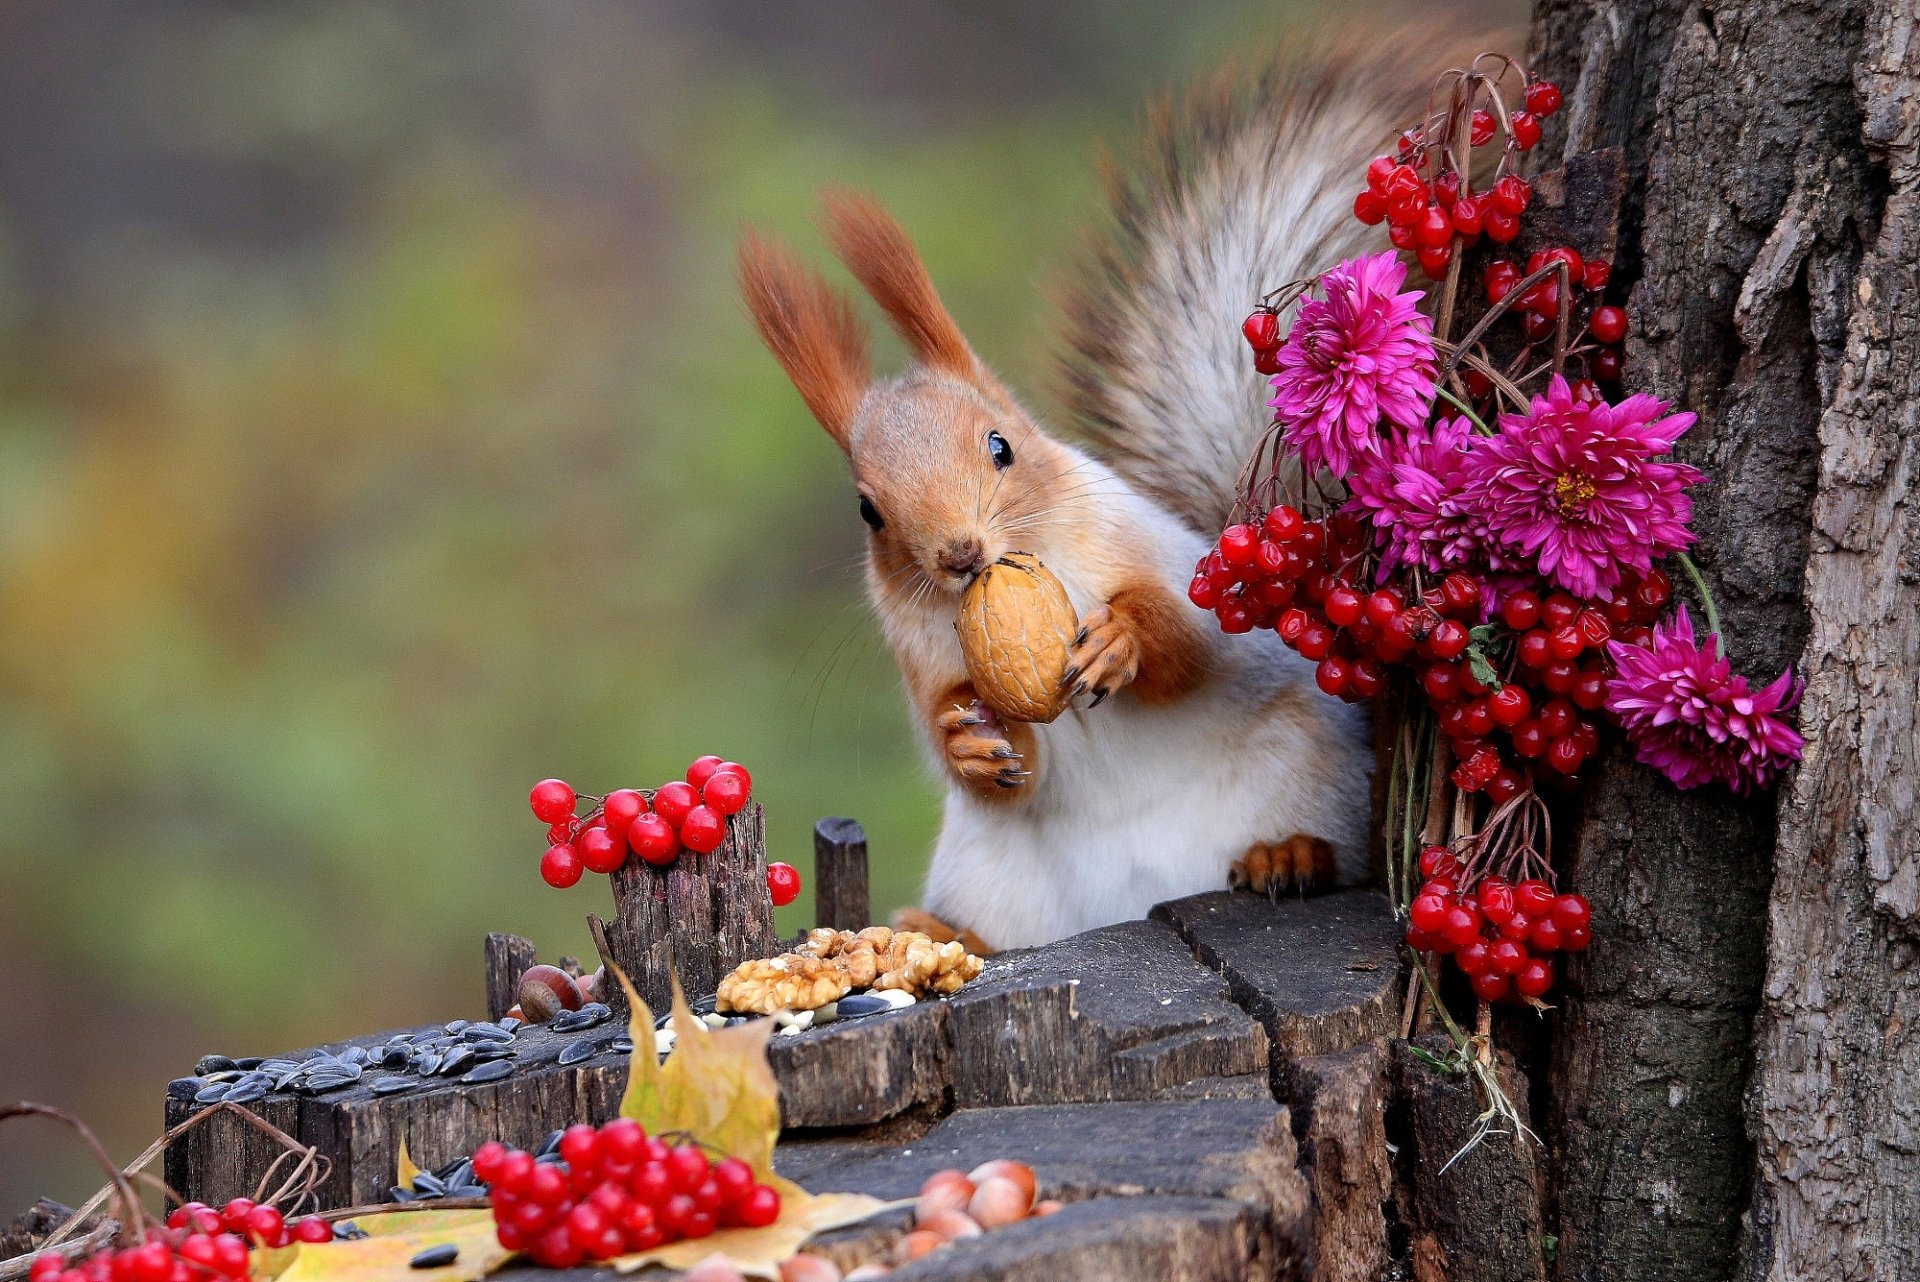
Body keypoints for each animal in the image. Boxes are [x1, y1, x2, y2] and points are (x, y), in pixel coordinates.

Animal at [738, 43, 1437, 953]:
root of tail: (1139, 904)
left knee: (1330, 850)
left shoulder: (1165, 557)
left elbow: (1195, 646)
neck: (1029, 563)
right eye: (869, 511)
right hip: (996, 873)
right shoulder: (919, 653)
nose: (959, 555)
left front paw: (1120, 641)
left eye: (1000, 445)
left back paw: (1290, 854)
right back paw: (943, 933)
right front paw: (966, 737)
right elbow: (989, 753)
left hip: (1315, 770)